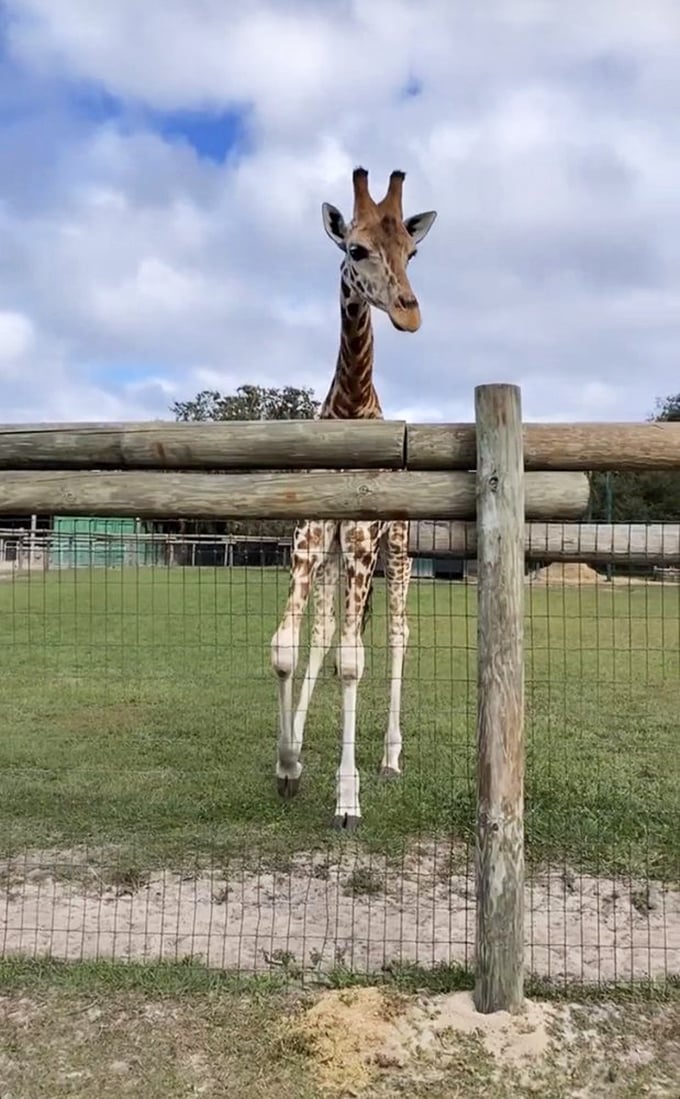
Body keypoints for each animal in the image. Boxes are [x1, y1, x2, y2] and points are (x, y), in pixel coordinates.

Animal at [270, 166, 437, 830]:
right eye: (357, 248)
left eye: (412, 253)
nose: (410, 314)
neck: (350, 407)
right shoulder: (310, 540)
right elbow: (289, 647)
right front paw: (287, 764)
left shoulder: (364, 543)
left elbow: (352, 662)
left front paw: (348, 799)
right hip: (338, 559)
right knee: (327, 636)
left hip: (397, 551)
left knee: (394, 636)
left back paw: (390, 758)